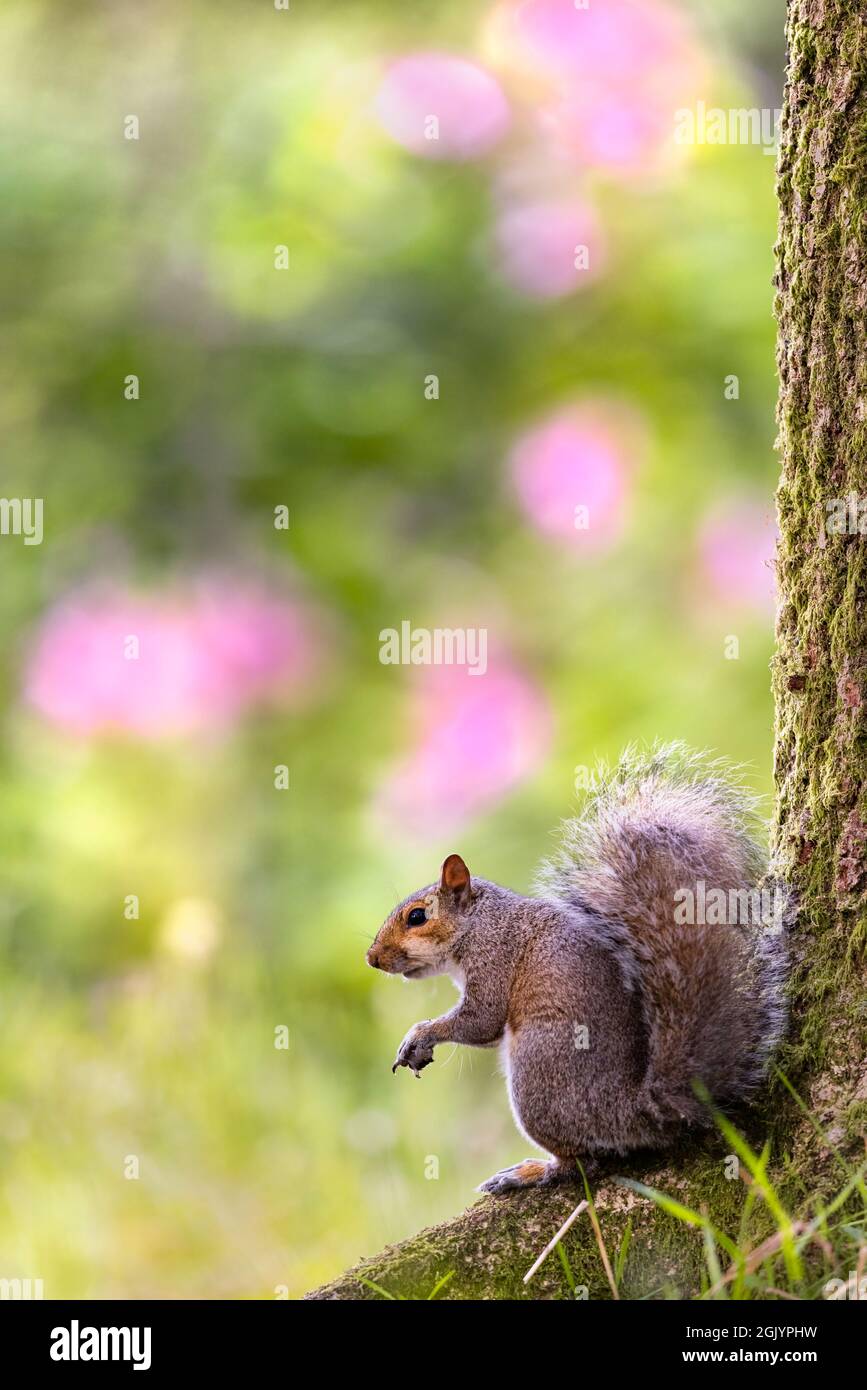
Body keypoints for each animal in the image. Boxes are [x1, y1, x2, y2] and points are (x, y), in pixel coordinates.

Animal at [366, 744, 788, 1194]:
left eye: (417, 917)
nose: (372, 958)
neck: (479, 923)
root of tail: (637, 1110)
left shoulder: (495, 957)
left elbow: (482, 1021)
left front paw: (420, 1035)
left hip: (538, 1070)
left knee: (581, 1162)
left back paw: (531, 1172)